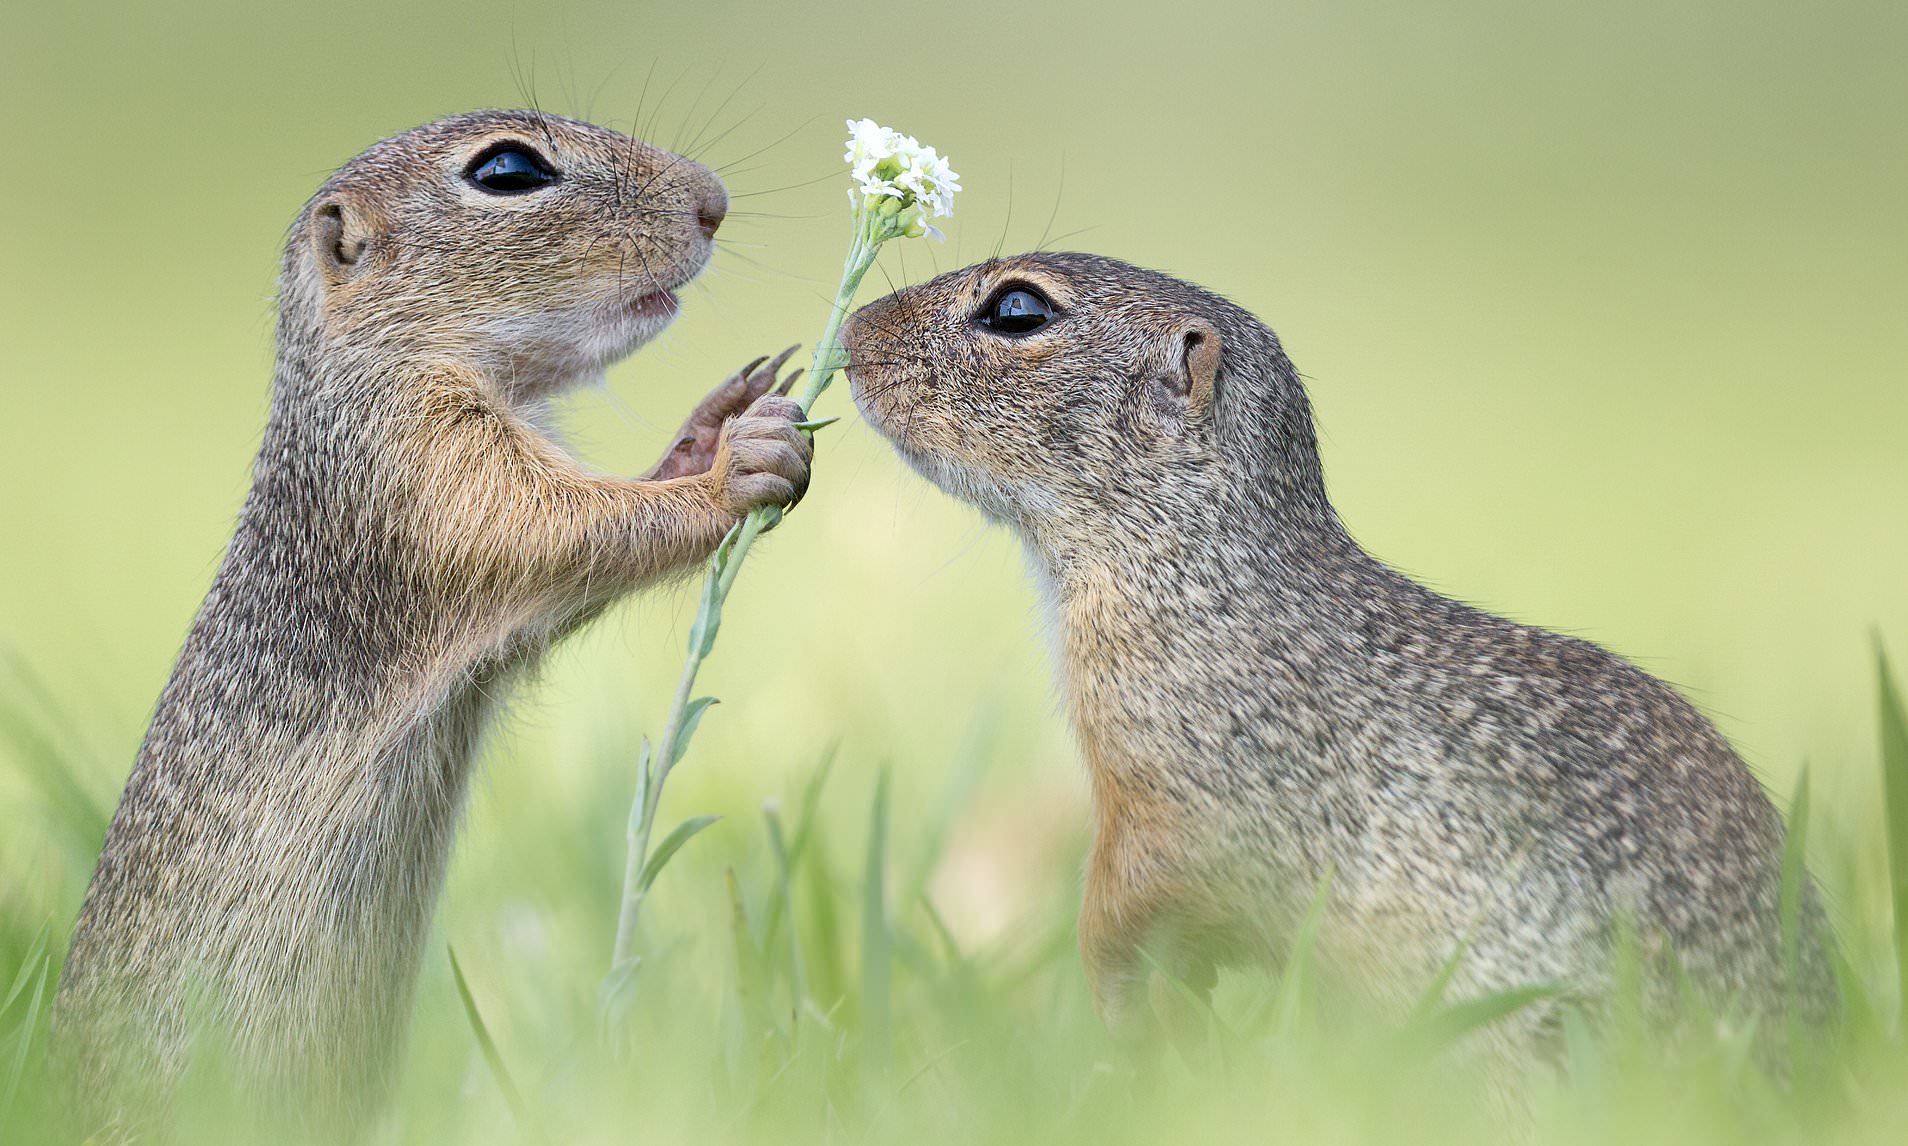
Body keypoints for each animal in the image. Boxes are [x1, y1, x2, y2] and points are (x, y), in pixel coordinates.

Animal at [52, 109, 812, 1137]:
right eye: (509, 171)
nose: (715, 201)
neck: (376, 366)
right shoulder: (427, 471)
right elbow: (567, 524)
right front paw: (740, 464)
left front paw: (717, 420)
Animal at [842, 251, 1836, 1066]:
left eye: (1017, 310)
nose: (851, 330)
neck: (1198, 568)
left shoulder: (1181, 796)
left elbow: (1125, 902)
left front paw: (1127, 1015)